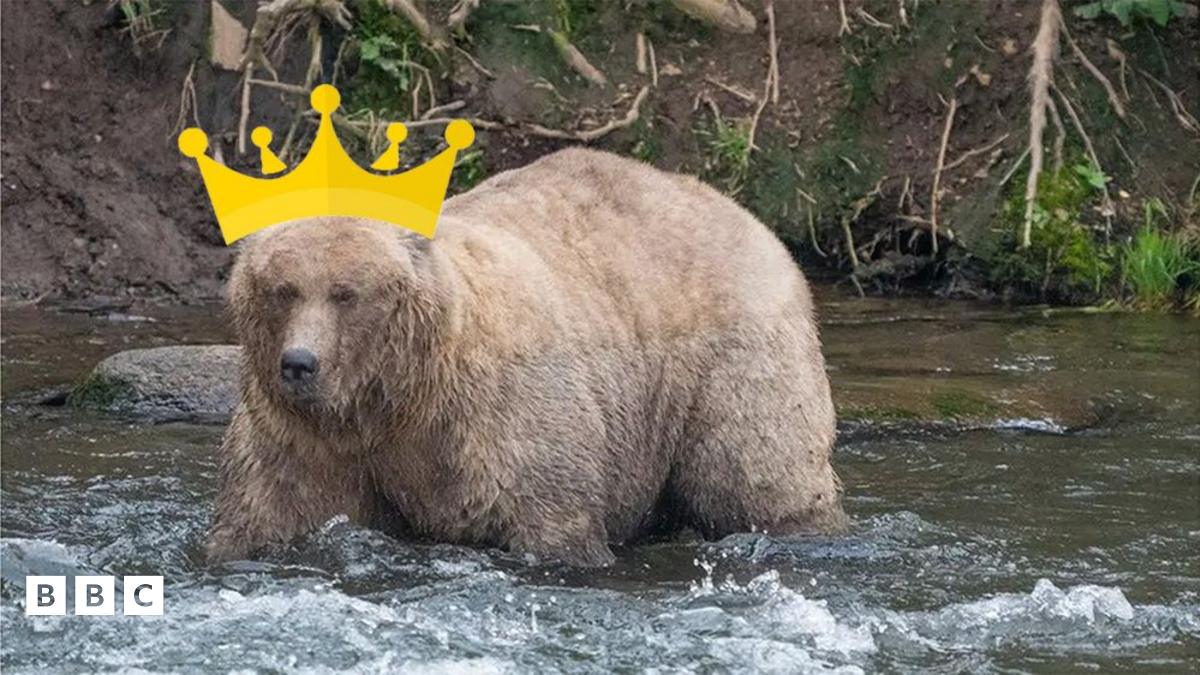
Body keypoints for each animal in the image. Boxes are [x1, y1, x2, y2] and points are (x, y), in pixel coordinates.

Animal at [204, 147, 848, 566]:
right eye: (283, 288)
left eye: (345, 292)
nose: (300, 363)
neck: (396, 394)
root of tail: (745, 215)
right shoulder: (307, 434)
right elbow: (272, 506)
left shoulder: (496, 412)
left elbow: (547, 511)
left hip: (731, 360)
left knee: (755, 472)